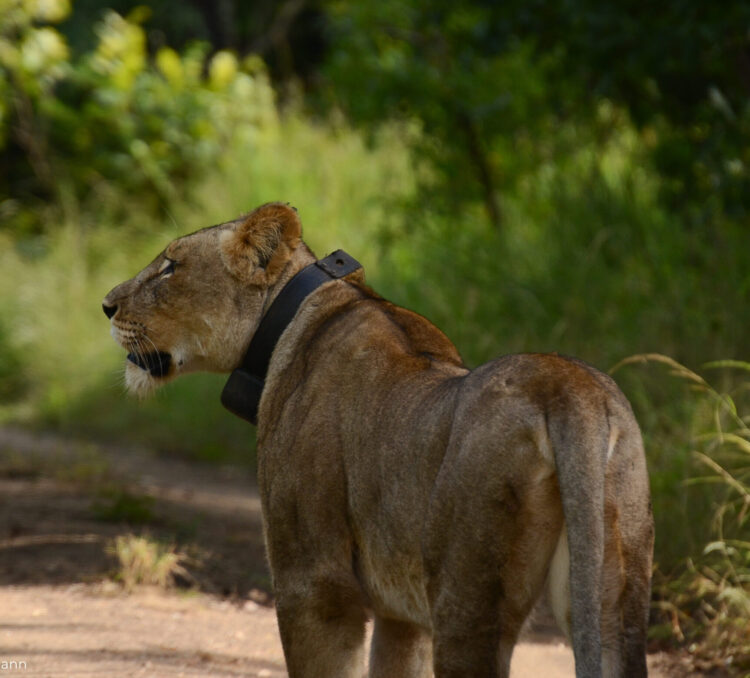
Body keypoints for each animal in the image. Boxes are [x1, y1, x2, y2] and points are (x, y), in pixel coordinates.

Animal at [103, 202, 654, 678]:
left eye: (170, 267)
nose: (106, 305)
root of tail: (567, 389)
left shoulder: (314, 582)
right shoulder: (403, 615)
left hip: (468, 602)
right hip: (614, 600)